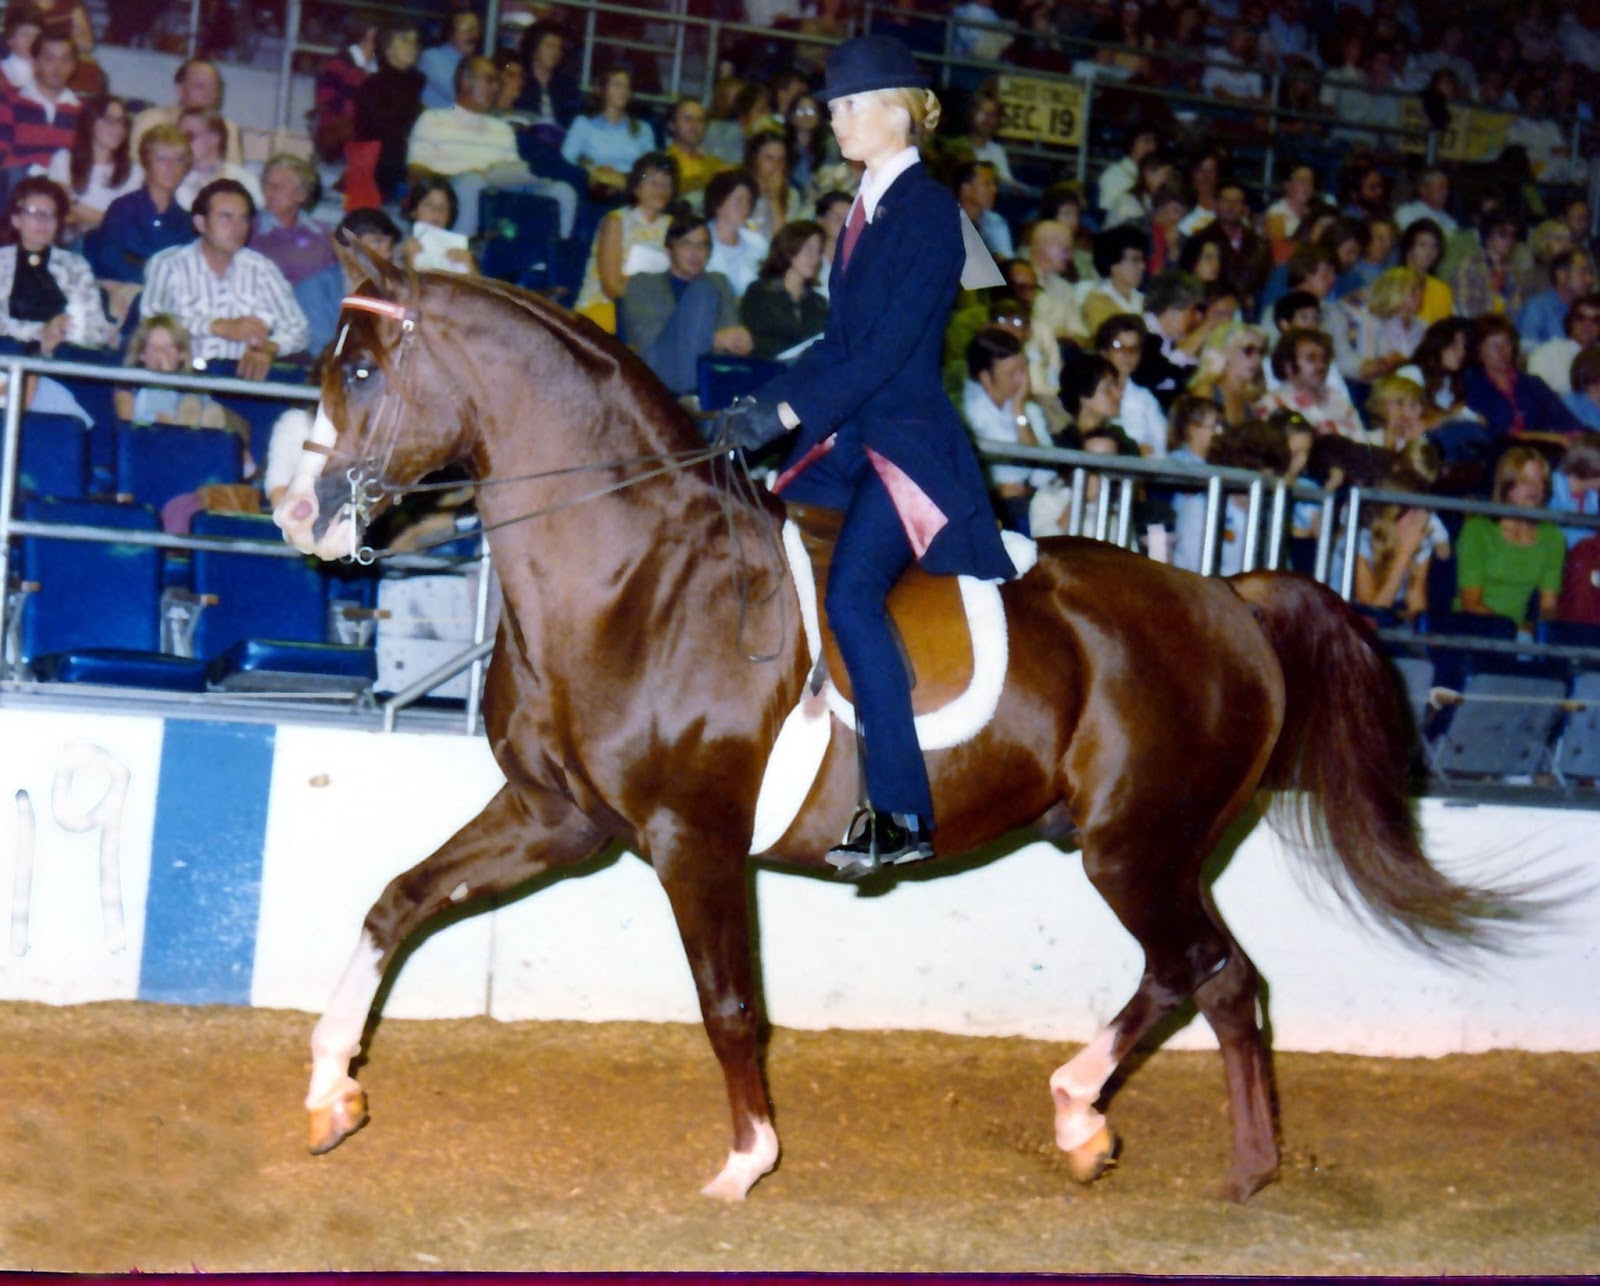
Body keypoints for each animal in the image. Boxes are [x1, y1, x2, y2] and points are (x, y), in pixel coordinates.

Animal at [274, 240, 1515, 1205]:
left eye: (363, 368)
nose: (296, 516)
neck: (634, 577)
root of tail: (1230, 597)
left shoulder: (691, 837)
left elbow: (730, 1003)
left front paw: (747, 1160)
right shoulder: (554, 815)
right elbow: (398, 901)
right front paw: (331, 1087)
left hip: (1136, 842)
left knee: (1210, 971)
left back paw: (1168, 1141)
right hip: (1139, 844)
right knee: (1203, 977)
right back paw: (1151, 1139)